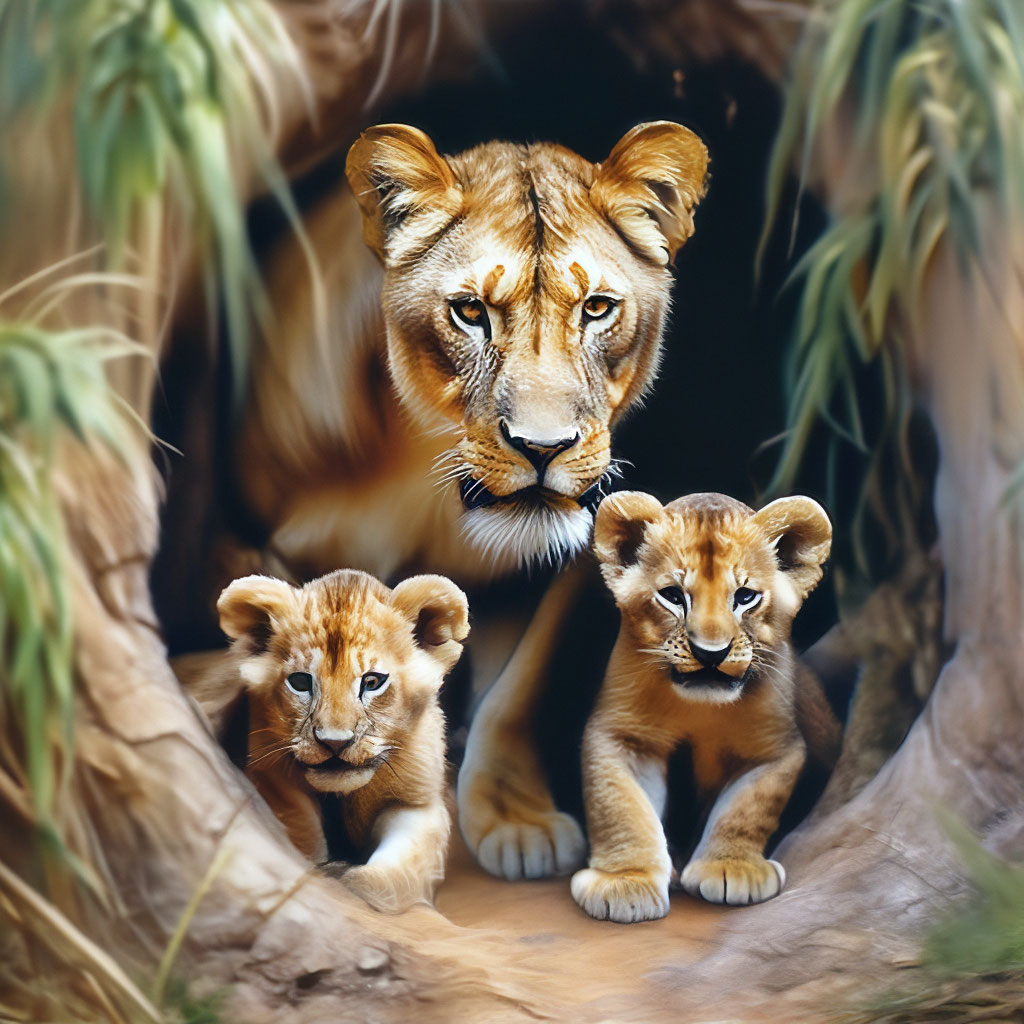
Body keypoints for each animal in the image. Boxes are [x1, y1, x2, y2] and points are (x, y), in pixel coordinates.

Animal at [184, 569, 468, 913]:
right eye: (300, 682)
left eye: (372, 682)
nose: (335, 743)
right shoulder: (269, 776)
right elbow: (300, 833)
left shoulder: (416, 803)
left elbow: (403, 867)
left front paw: (359, 885)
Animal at [236, 121, 708, 879]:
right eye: (470, 313)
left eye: (596, 309)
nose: (544, 448)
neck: (421, 472)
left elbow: (515, 691)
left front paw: (518, 824)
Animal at [571, 491, 841, 921]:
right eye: (672, 595)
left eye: (745, 597)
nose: (710, 653)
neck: (699, 708)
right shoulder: (622, 736)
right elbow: (622, 808)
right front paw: (626, 881)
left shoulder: (774, 748)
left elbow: (746, 808)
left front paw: (733, 870)